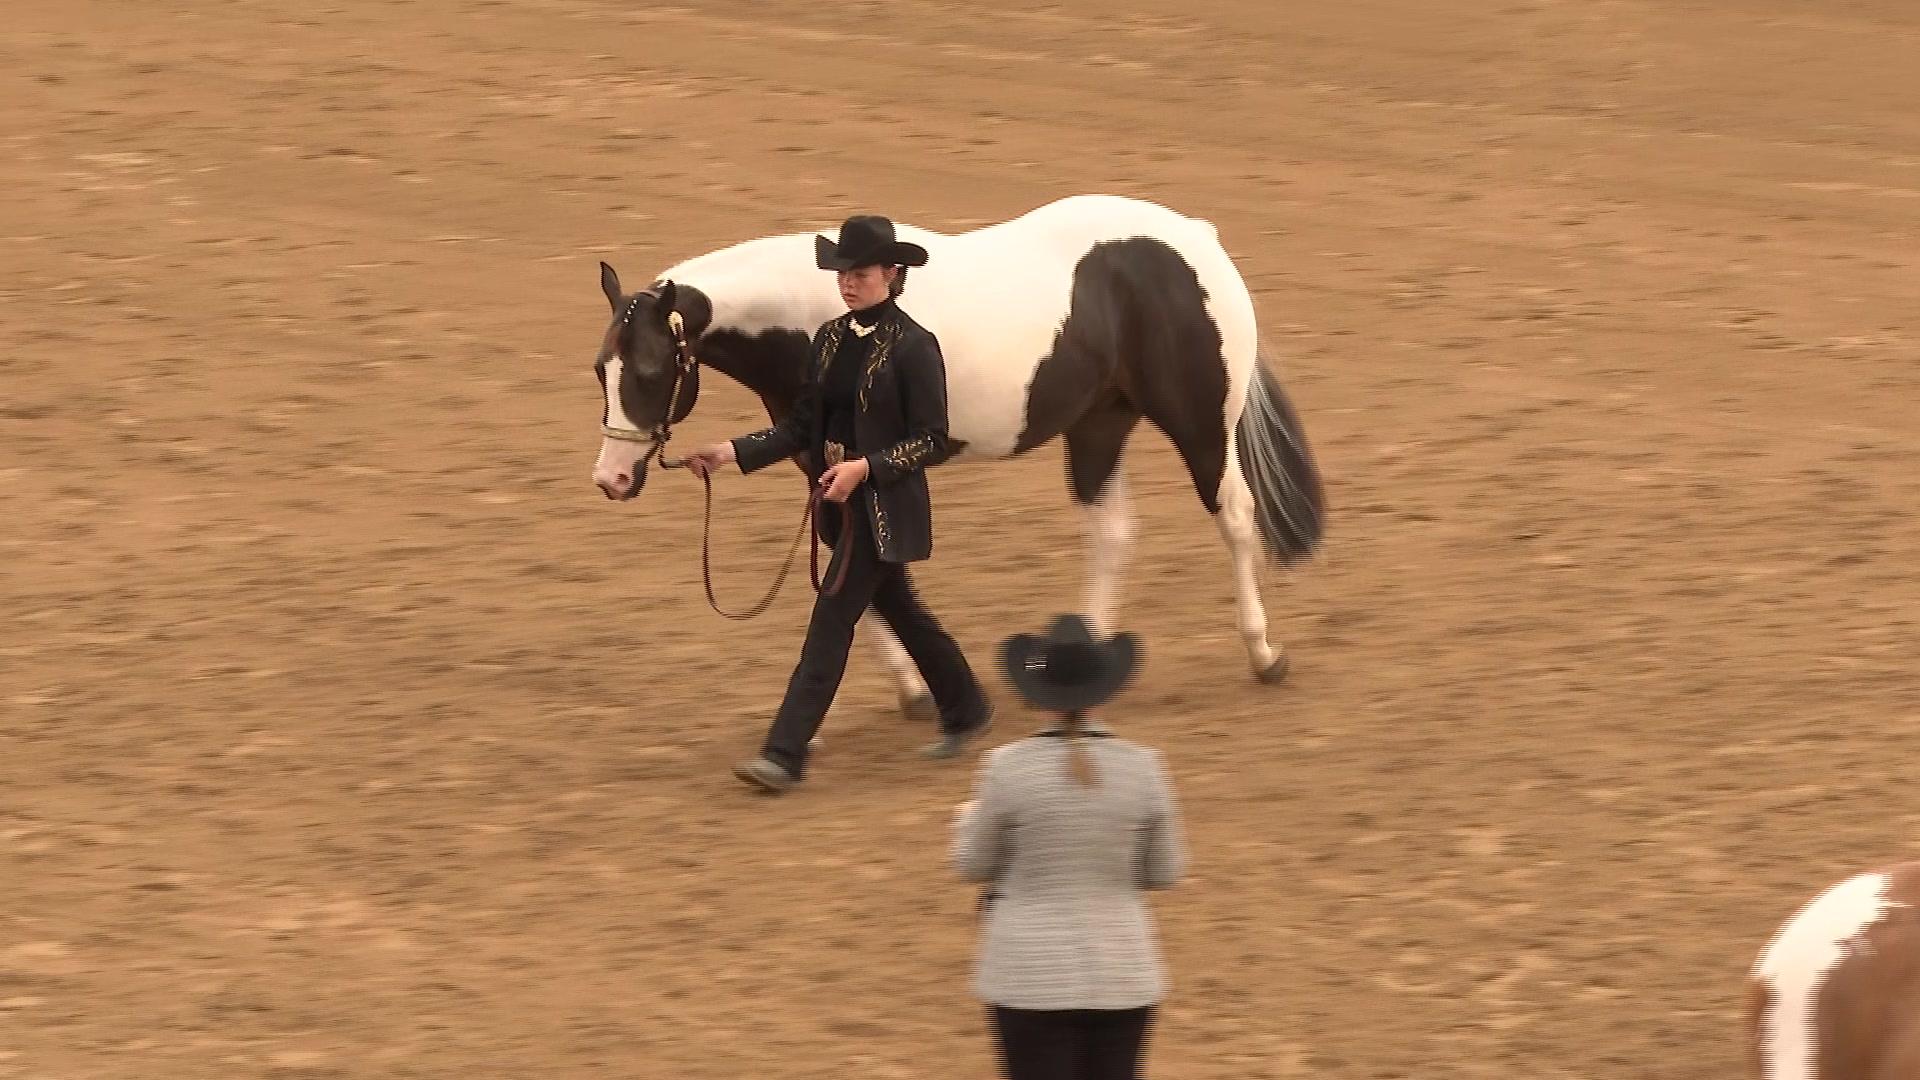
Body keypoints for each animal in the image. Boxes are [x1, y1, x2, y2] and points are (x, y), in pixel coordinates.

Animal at [587, 194, 1325, 718]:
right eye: (601, 369)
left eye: (650, 372)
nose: (612, 478)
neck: (811, 316)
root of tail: (1195, 237)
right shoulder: (825, 462)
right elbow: (858, 575)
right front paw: (915, 687)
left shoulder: (860, 463)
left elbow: (859, 571)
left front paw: (917, 686)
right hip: (1097, 426)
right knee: (1112, 532)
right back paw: (1080, 669)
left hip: (1200, 425)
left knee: (1235, 518)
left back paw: (1264, 654)